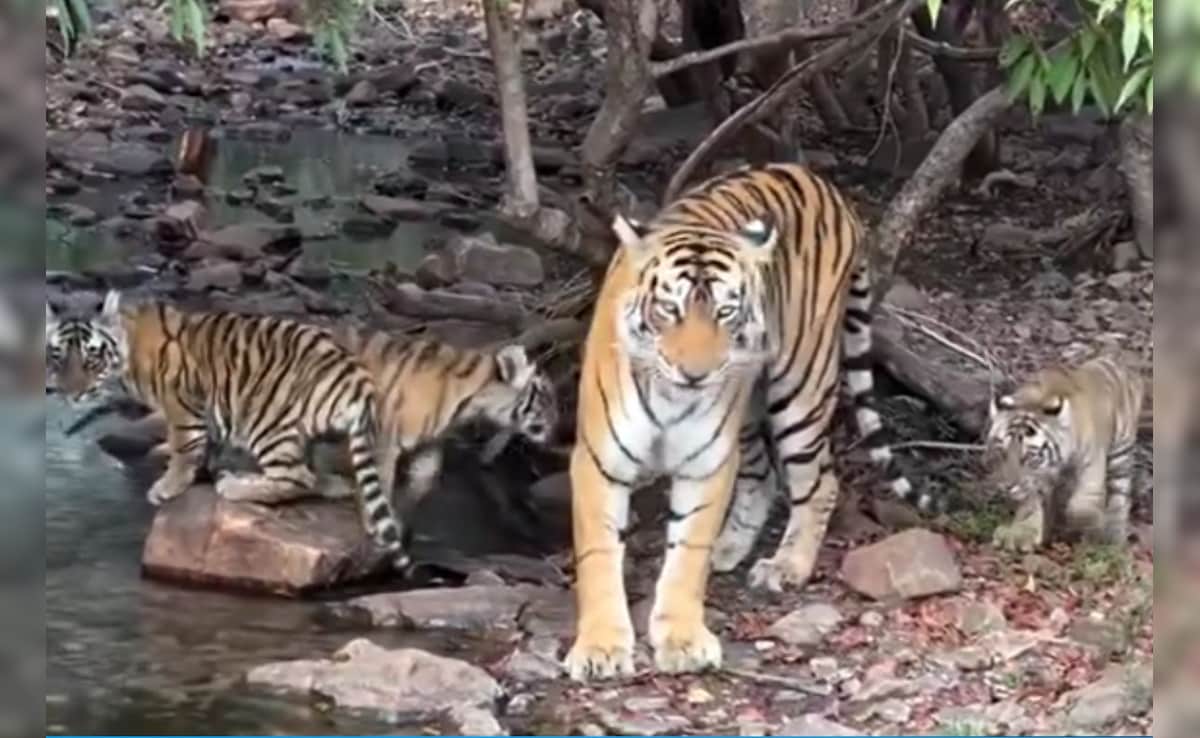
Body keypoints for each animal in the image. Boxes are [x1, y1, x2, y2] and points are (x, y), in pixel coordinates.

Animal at [44, 290, 410, 569]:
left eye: (92, 359)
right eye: (58, 357)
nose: (70, 393)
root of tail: (358, 378)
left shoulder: (182, 405)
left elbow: (182, 449)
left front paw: (166, 488)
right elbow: (206, 446)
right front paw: (202, 472)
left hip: (266, 417)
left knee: (296, 477)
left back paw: (236, 486)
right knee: (320, 476)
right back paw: (332, 485)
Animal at [323, 324, 559, 517]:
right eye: (546, 397)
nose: (559, 424)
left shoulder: (428, 444)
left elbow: (425, 479)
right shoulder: (381, 441)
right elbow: (380, 486)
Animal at [564, 163, 917, 682]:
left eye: (725, 312)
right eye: (669, 309)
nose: (697, 373)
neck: (671, 397)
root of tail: (821, 181)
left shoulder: (706, 462)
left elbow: (688, 554)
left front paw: (682, 639)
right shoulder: (599, 460)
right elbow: (599, 555)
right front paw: (601, 649)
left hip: (800, 389)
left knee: (819, 481)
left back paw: (786, 564)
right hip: (749, 412)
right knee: (764, 474)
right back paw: (730, 547)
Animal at [985, 353, 1145, 553]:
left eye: (1030, 457)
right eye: (1002, 452)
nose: (1008, 486)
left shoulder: (1091, 465)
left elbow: (1080, 506)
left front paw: (1092, 527)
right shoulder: (1040, 477)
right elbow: (1031, 501)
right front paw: (1021, 533)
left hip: (1121, 454)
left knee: (1120, 495)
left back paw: (1114, 537)